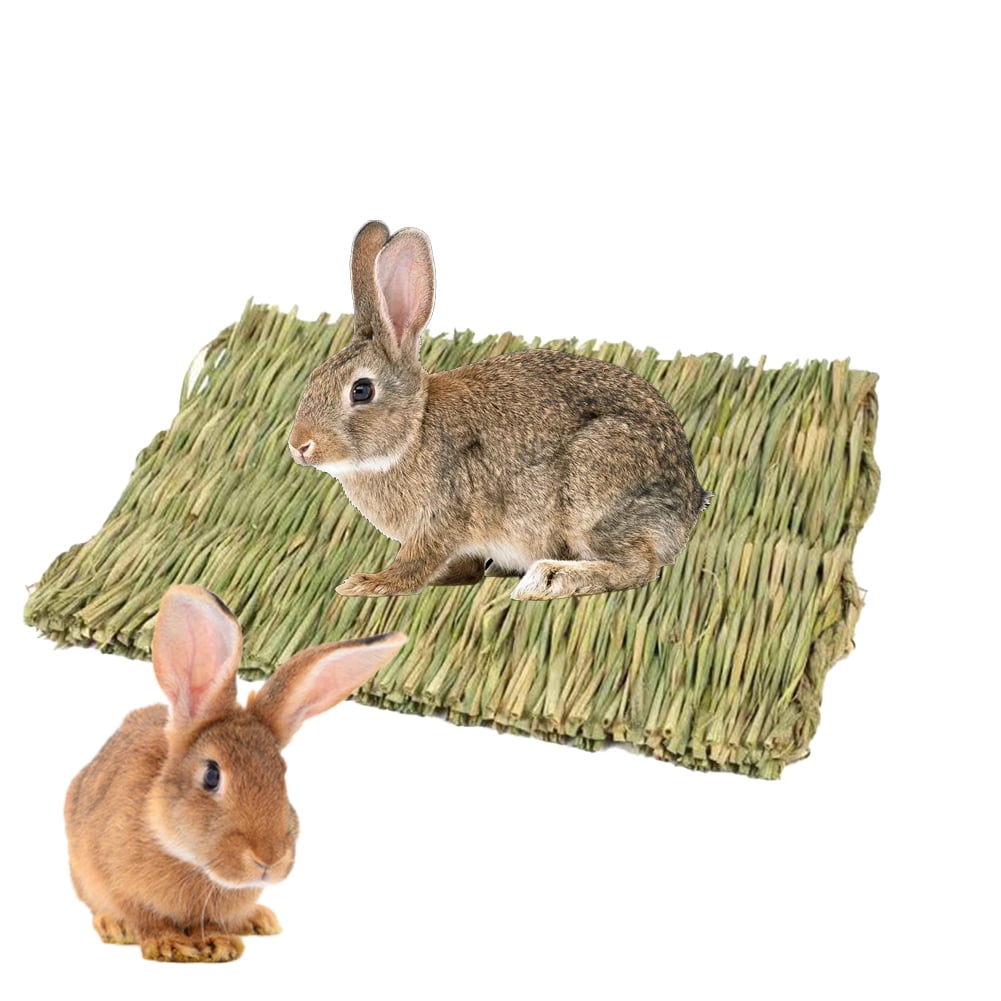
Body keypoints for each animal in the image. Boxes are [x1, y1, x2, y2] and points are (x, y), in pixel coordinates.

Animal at [64, 584, 406, 962]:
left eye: (282, 773)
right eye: (212, 775)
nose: (269, 859)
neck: (193, 863)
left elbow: (213, 923)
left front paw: (219, 944)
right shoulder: (120, 883)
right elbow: (149, 918)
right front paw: (171, 946)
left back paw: (259, 920)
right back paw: (114, 926)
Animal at [288, 220, 711, 601]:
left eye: (361, 390)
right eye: (314, 376)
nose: (299, 445)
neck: (413, 432)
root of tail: (689, 501)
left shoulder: (442, 518)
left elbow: (416, 564)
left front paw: (366, 583)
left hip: (594, 494)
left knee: (639, 568)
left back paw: (548, 580)